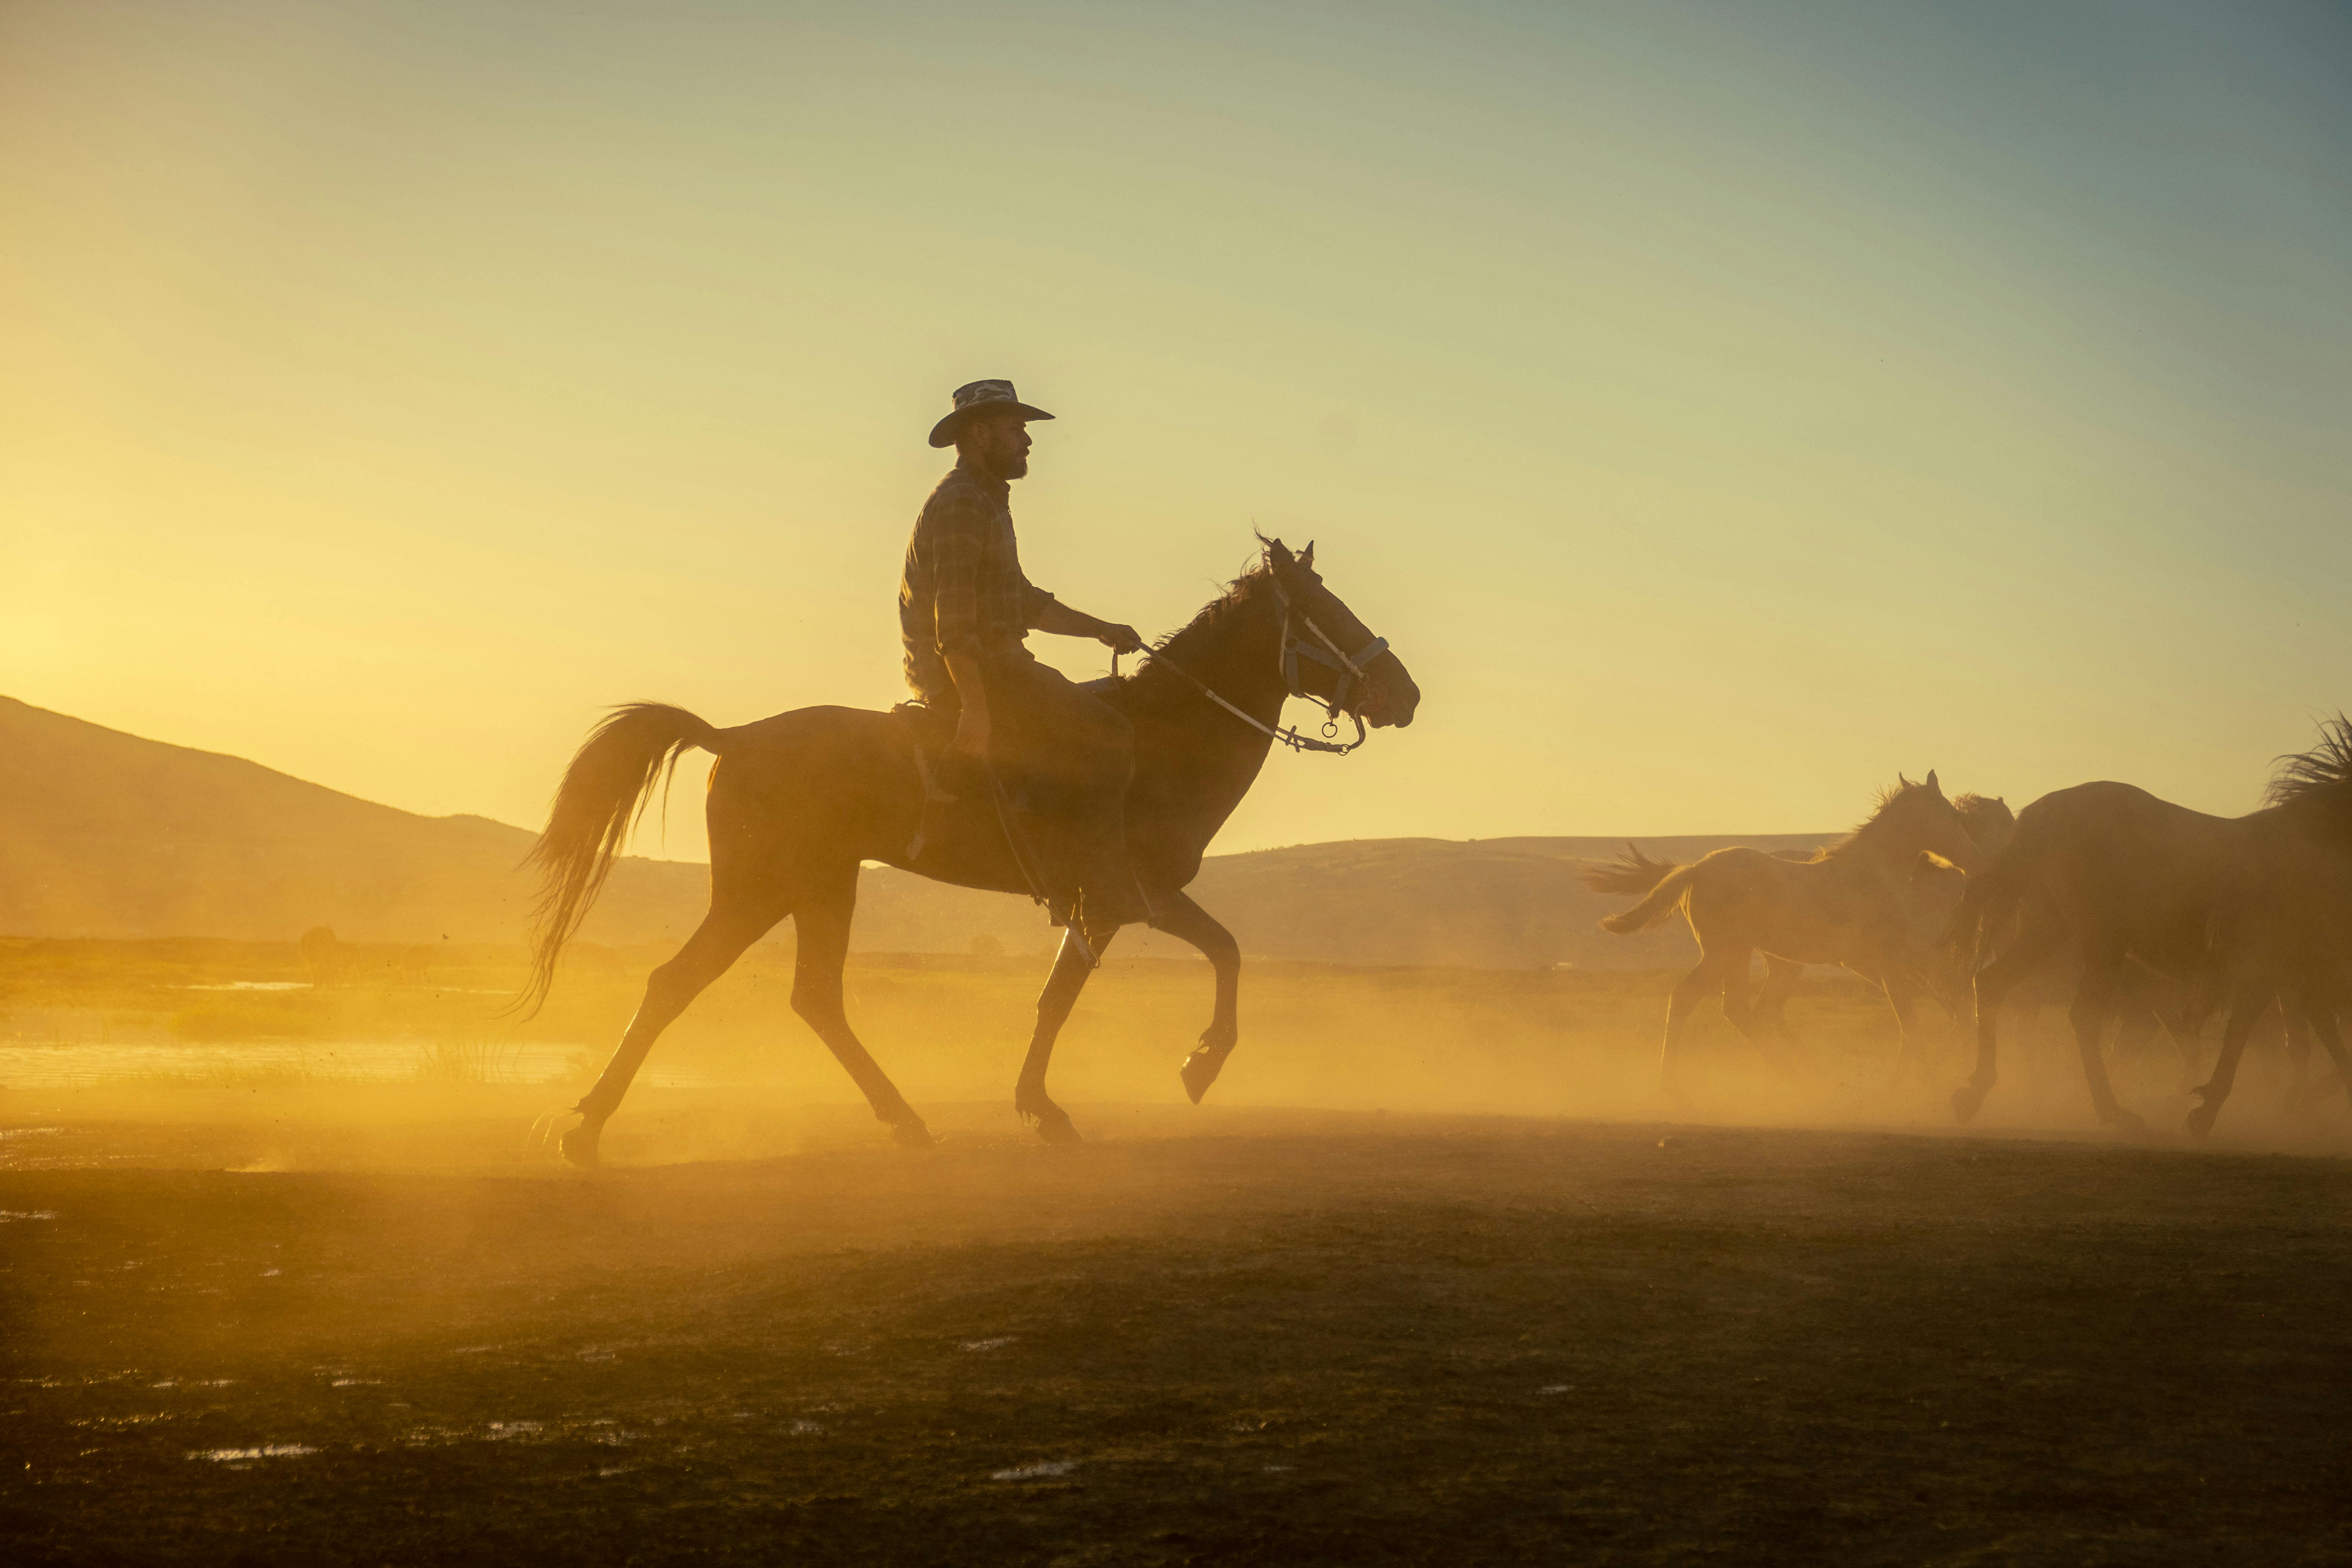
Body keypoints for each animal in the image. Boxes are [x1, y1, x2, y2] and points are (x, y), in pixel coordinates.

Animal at [522, 539, 1419, 1166]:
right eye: (1327, 610)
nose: (1404, 693)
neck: (1163, 741)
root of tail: (732, 736)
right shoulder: (1125, 898)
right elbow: (1112, 985)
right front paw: (1167, 1074)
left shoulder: (1139, 900)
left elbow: (1182, 963)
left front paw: (1101, 1090)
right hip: (758, 891)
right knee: (676, 983)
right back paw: (585, 1130)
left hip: (823, 886)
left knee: (816, 999)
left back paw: (905, 1120)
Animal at [1579, 773, 1980, 1095]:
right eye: (1953, 816)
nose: (1971, 861)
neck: (1872, 877)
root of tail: (1695, 869)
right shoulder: (1888, 963)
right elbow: (1913, 1022)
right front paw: (1927, 1086)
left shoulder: (1890, 965)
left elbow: (1930, 1016)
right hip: (1727, 953)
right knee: (1696, 1000)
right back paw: (1676, 1087)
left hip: (1755, 958)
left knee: (1743, 1011)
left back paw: (1802, 1080)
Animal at [1952, 717, 2352, 1136]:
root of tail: (2042, 813)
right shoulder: (2277, 968)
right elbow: (2264, 1035)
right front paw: (2211, 1111)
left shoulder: (2289, 973)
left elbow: (2292, 1036)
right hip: (2102, 943)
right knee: (2084, 1018)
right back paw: (2113, 1112)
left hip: (2048, 928)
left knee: (1993, 983)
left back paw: (1974, 1094)